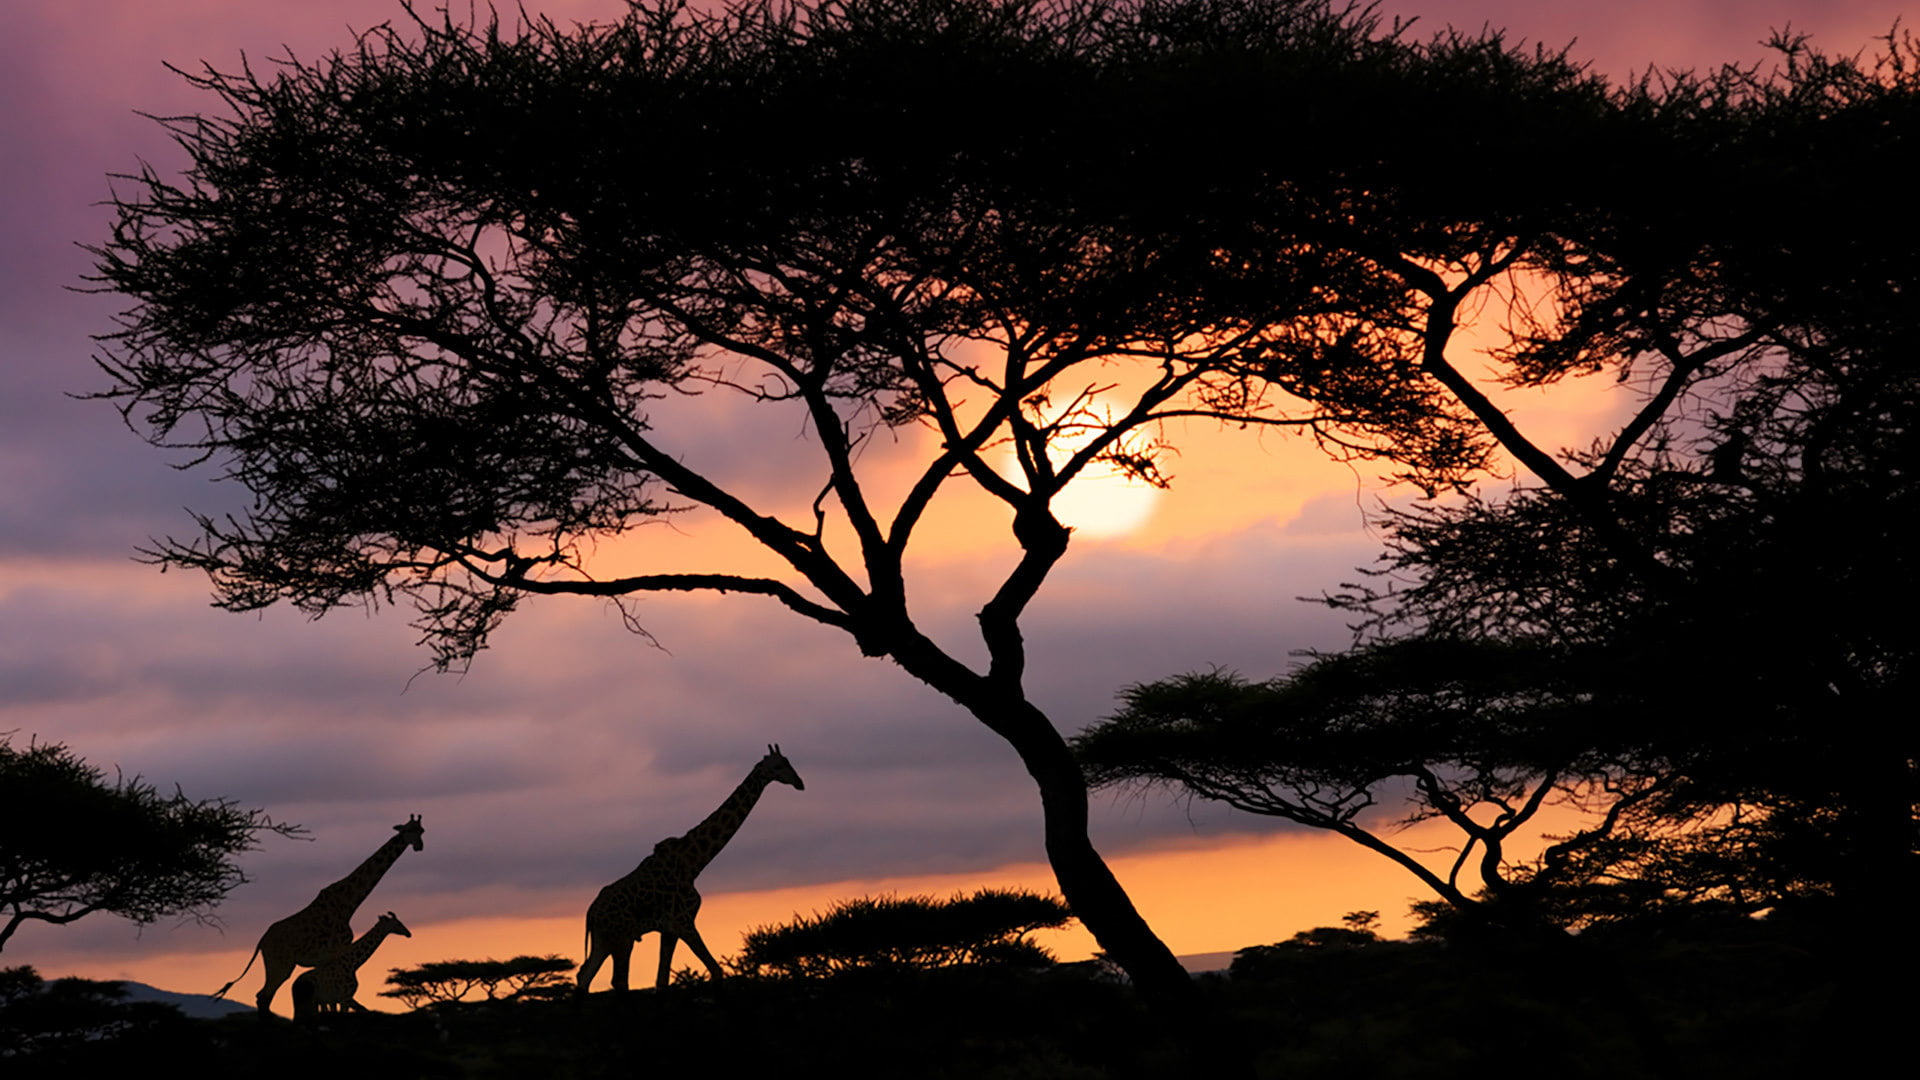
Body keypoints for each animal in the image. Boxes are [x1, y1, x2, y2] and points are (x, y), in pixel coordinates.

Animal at [214, 815, 424, 1016]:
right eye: (410, 830)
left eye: (421, 830)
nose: (419, 846)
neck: (348, 904)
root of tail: (262, 942)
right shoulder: (336, 951)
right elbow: (333, 1001)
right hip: (280, 965)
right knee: (264, 996)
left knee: (263, 996)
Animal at [578, 745, 803, 994]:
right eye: (778, 766)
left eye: (788, 761)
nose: (799, 782)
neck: (693, 863)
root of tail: (591, 912)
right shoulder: (684, 921)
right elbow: (715, 970)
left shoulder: (669, 929)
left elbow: (662, 980)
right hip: (622, 937)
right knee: (617, 980)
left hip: (603, 940)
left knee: (584, 975)